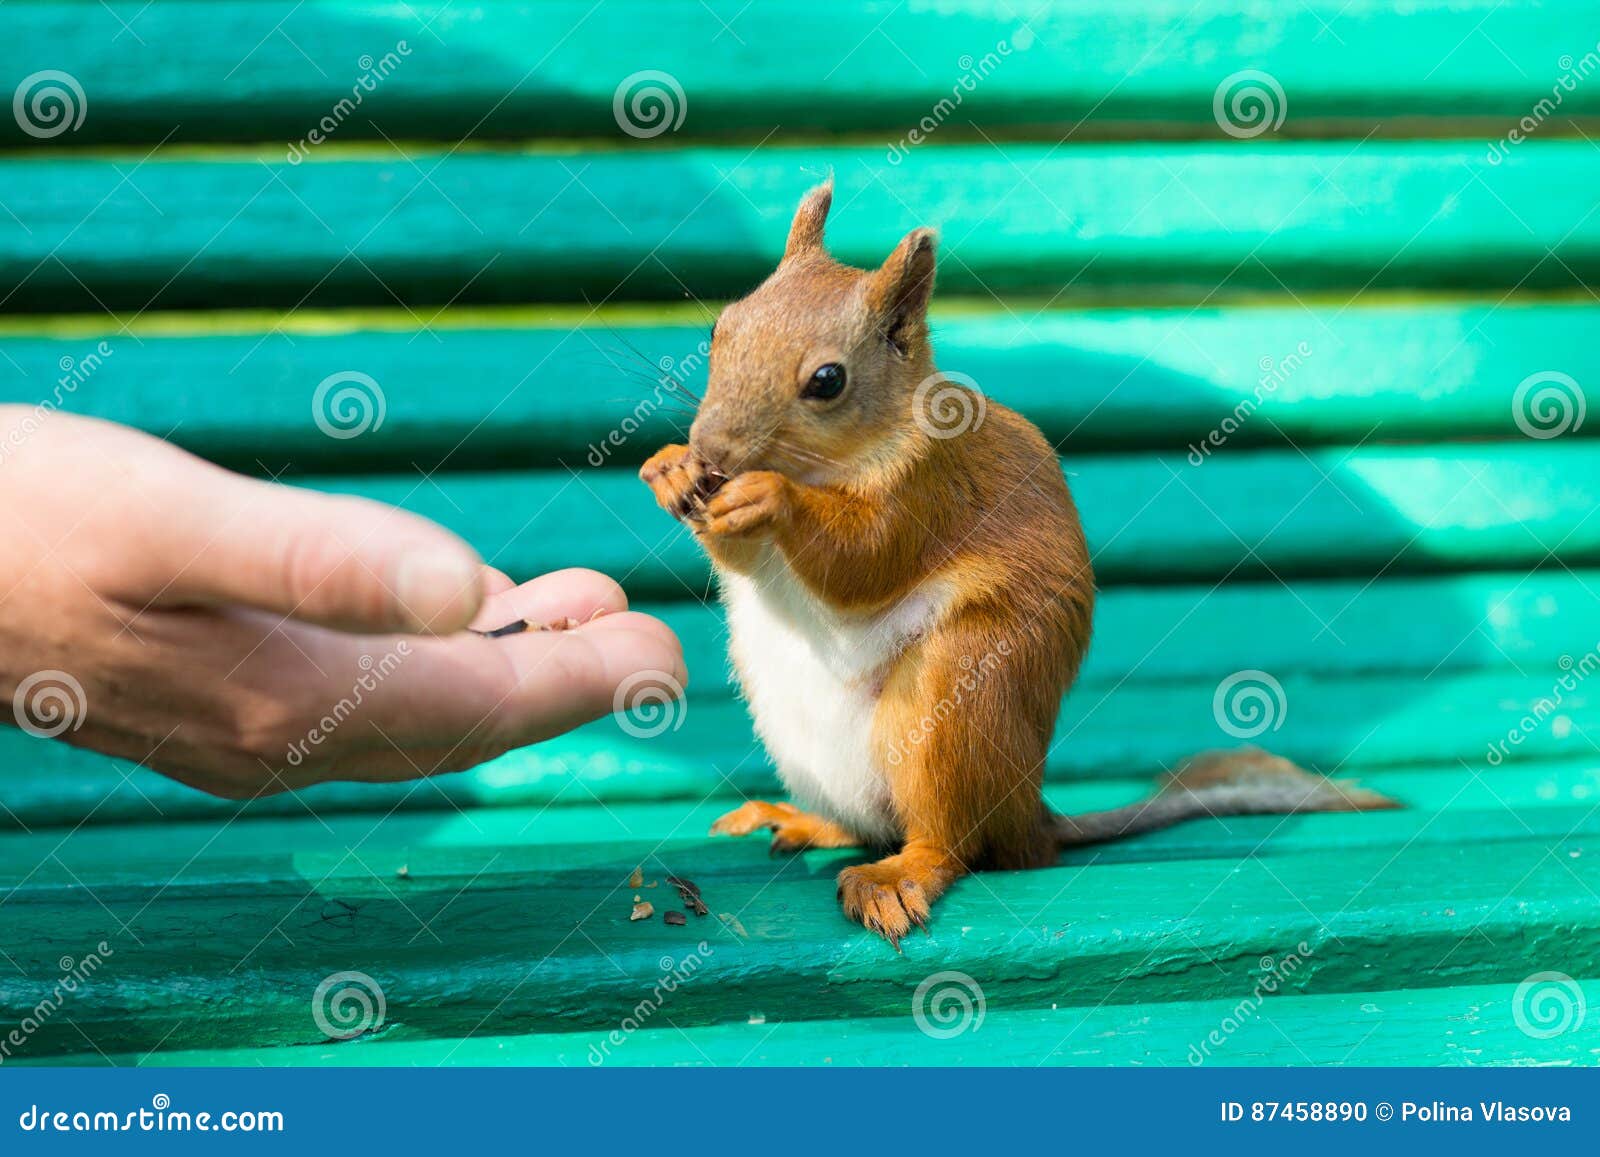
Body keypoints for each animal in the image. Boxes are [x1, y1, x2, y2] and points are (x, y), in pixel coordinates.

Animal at [640, 181, 1397, 947]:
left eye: (828, 380)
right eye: (718, 331)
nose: (712, 449)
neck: (846, 456)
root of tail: (1031, 817)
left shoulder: (927, 490)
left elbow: (863, 561)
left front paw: (772, 497)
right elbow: (739, 553)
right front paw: (670, 470)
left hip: (955, 699)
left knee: (947, 842)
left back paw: (899, 875)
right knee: (867, 823)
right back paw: (801, 819)